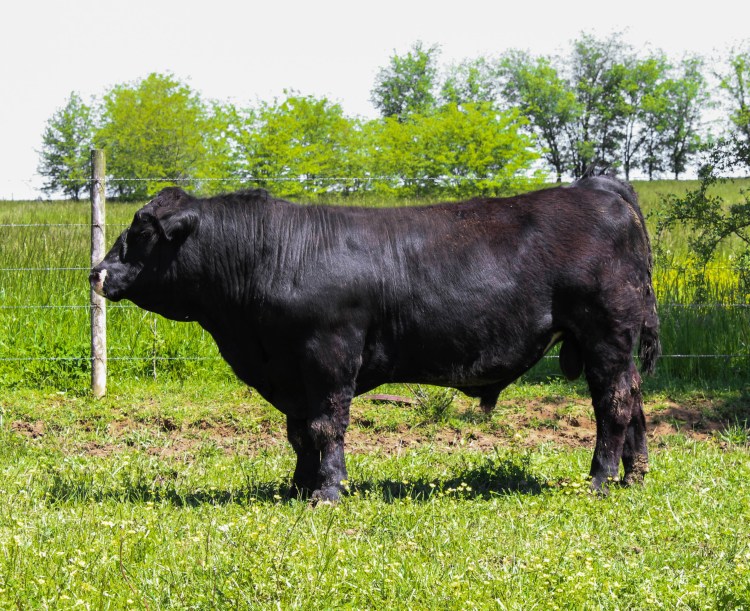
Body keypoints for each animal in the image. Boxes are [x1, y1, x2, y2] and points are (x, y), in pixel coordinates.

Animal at [90, 180, 660, 502]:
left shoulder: (329, 355)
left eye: (142, 233)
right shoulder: (292, 372)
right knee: (633, 400)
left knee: (613, 403)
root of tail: (599, 187)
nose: (97, 272)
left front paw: (327, 491)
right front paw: (298, 486)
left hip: (607, 334)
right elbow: (300, 431)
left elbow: (325, 426)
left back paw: (600, 481)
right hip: (611, 344)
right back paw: (635, 477)